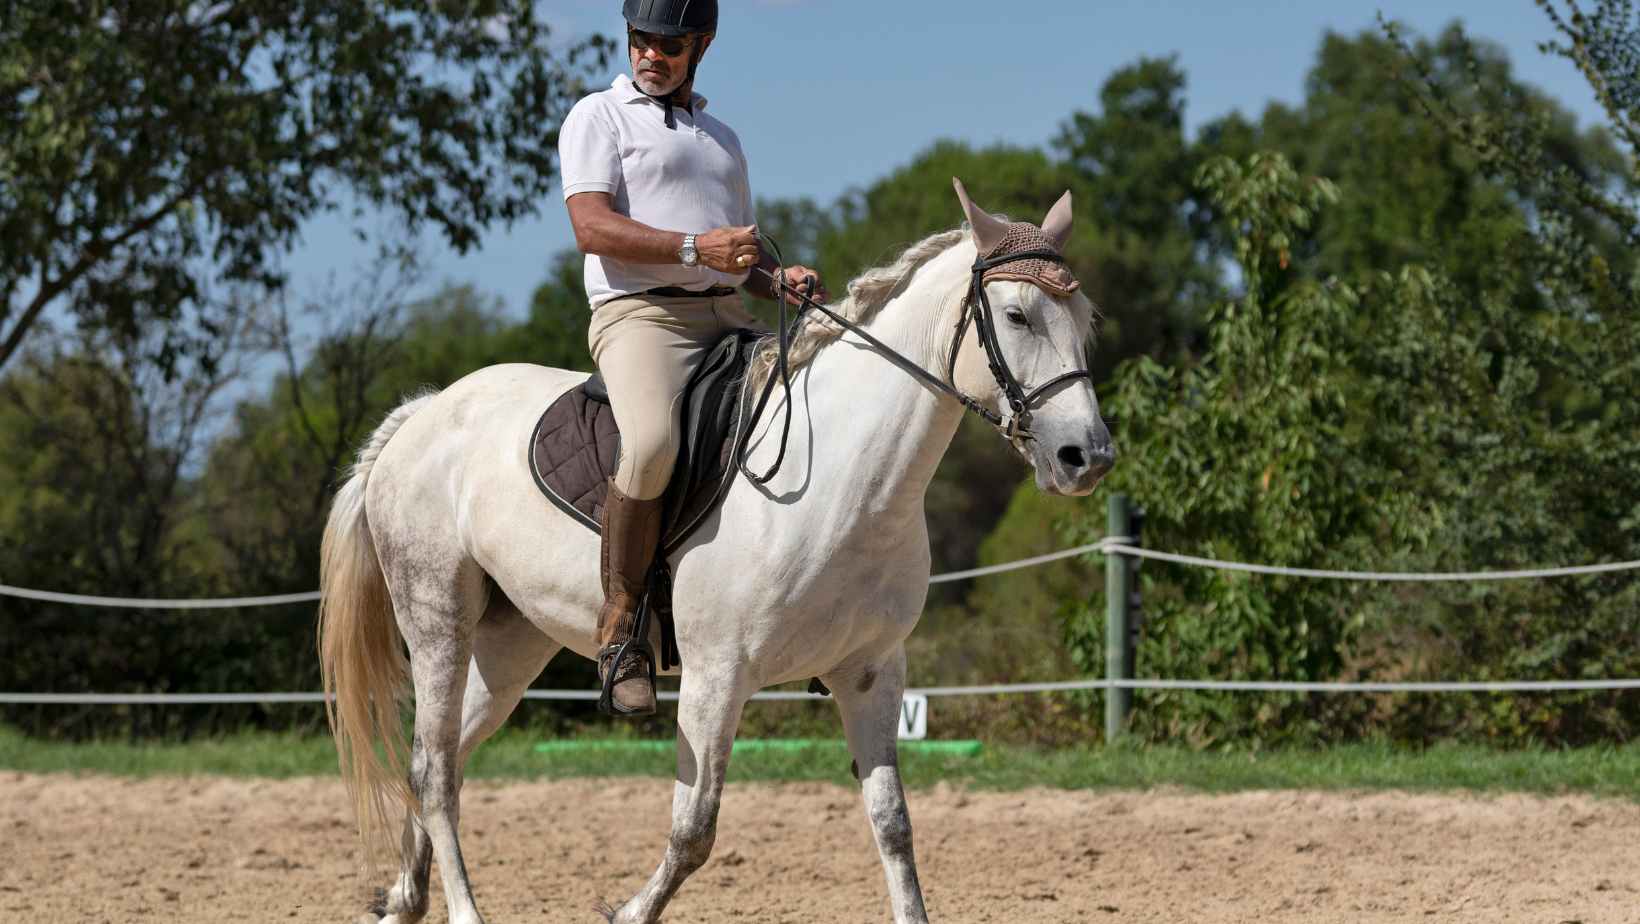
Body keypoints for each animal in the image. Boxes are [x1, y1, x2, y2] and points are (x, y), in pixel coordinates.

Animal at [317, 180, 1114, 924]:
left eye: (1083, 320)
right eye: (1016, 315)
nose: (1087, 457)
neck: (845, 479)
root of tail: (425, 412)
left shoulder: (871, 674)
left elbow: (893, 824)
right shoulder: (716, 678)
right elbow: (693, 832)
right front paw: (628, 912)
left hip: (512, 644)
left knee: (442, 759)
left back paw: (403, 898)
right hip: (437, 621)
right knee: (433, 770)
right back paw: (459, 909)